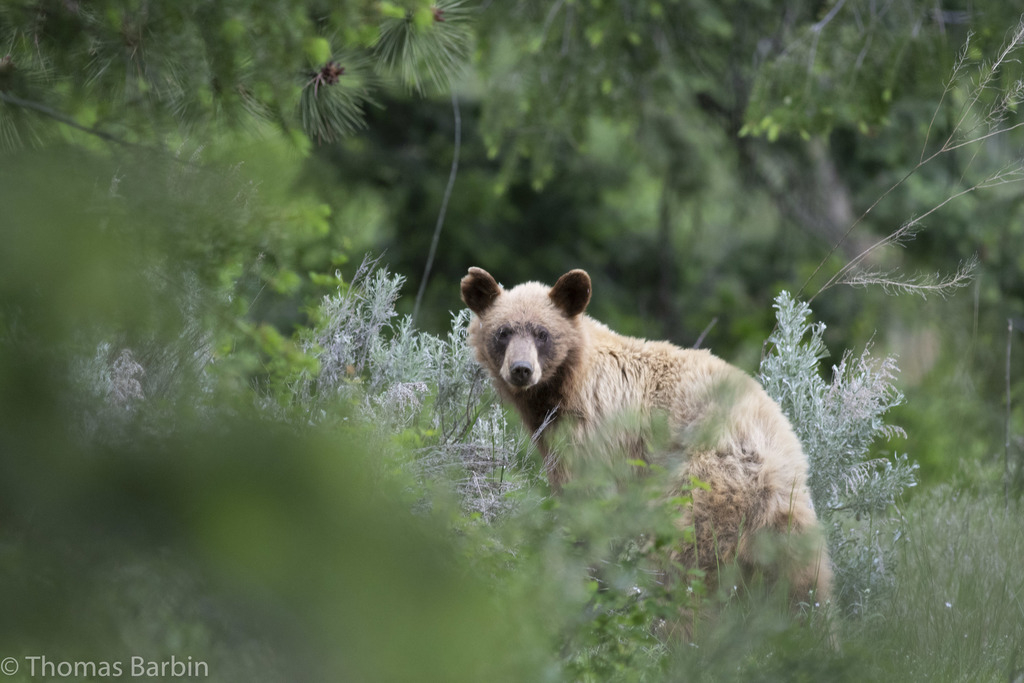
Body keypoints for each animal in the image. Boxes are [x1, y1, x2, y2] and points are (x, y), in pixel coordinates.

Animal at [460, 266, 833, 614]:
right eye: (503, 332)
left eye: (543, 333)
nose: (522, 369)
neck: (568, 383)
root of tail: (775, 459)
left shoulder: (596, 435)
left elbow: (591, 503)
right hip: (792, 524)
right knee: (807, 586)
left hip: (702, 489)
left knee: (684, 565)